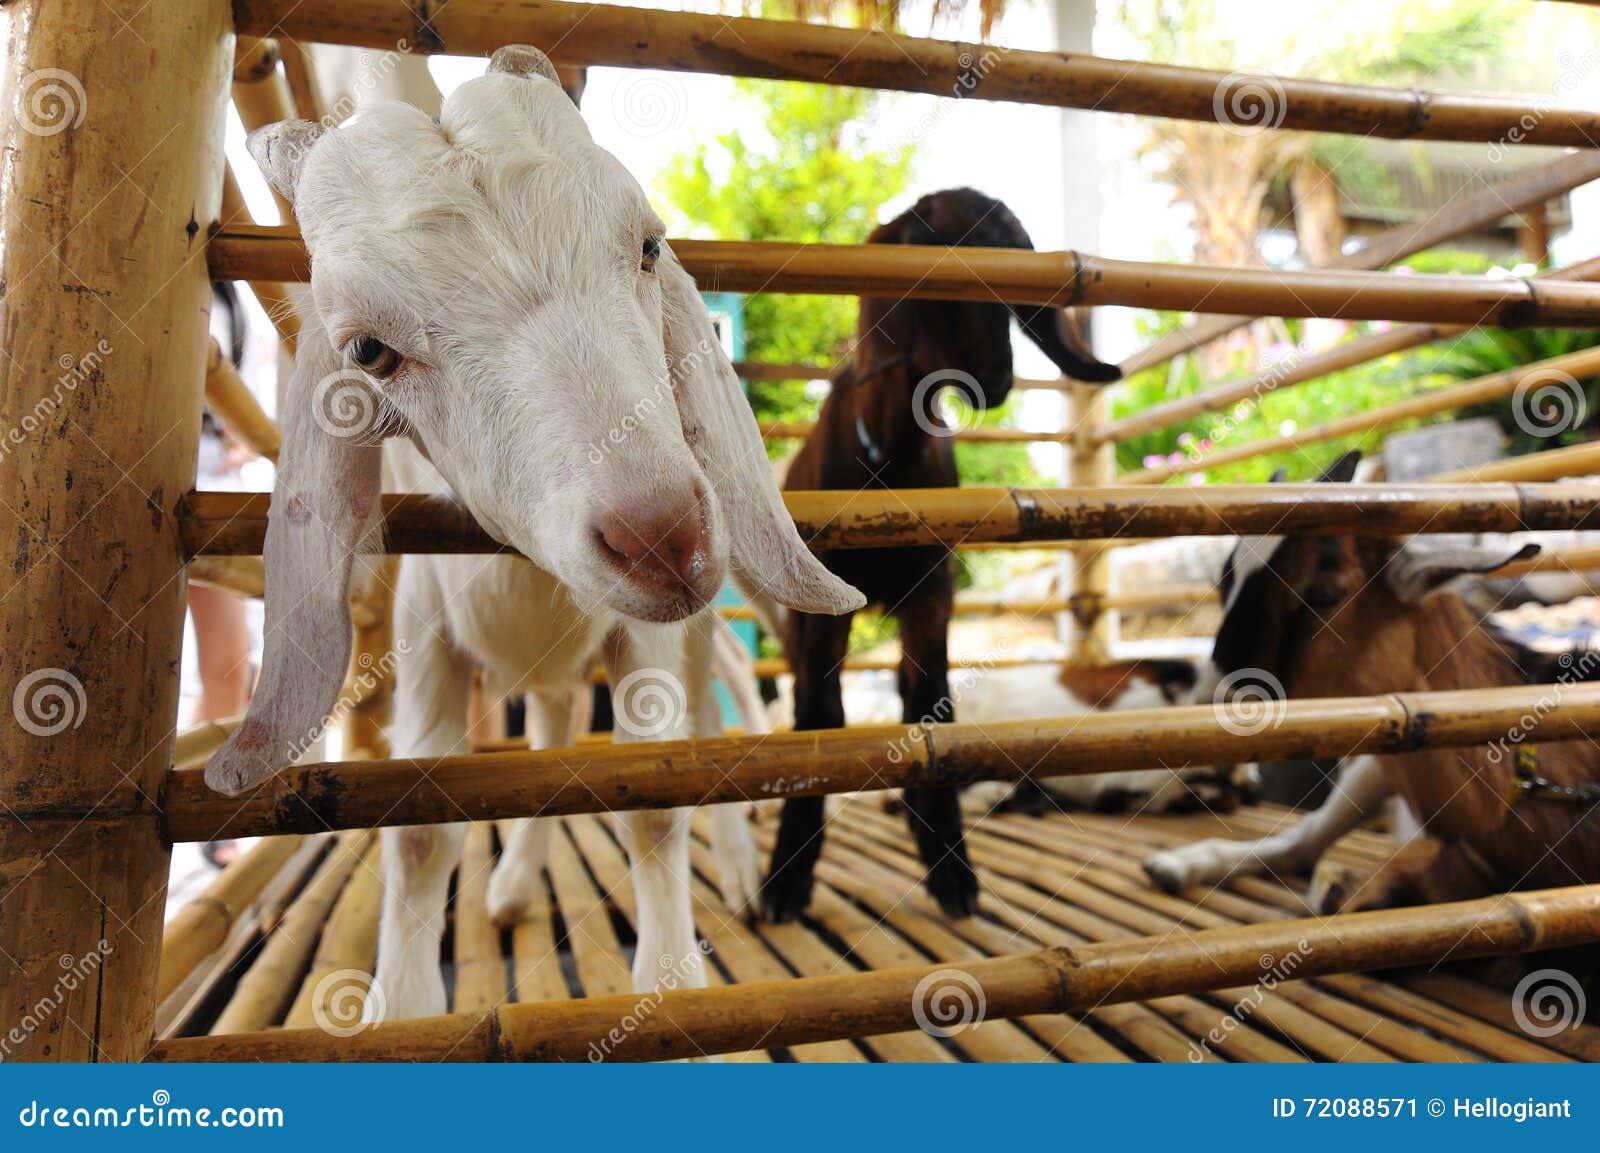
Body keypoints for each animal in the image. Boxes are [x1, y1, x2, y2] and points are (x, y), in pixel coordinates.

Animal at [203, 46, 863, 1021]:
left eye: (647, 248)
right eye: (367, 351)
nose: (663, 536)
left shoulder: (644, 635)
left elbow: (657, 796)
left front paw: (672, 982)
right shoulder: (425, 628)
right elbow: (416, 837)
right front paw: (405, 1006)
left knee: (715, 699)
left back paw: (742, 869)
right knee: (552, 720)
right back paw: (515, 883)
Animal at [758, 188, 1121, 923]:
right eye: (937, 248)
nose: (996, 377)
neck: (889, 458)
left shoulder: (931, 593)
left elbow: (933, 708)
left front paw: (952, 868)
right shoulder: (827, 607)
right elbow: (821, 715)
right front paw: (787, 876)